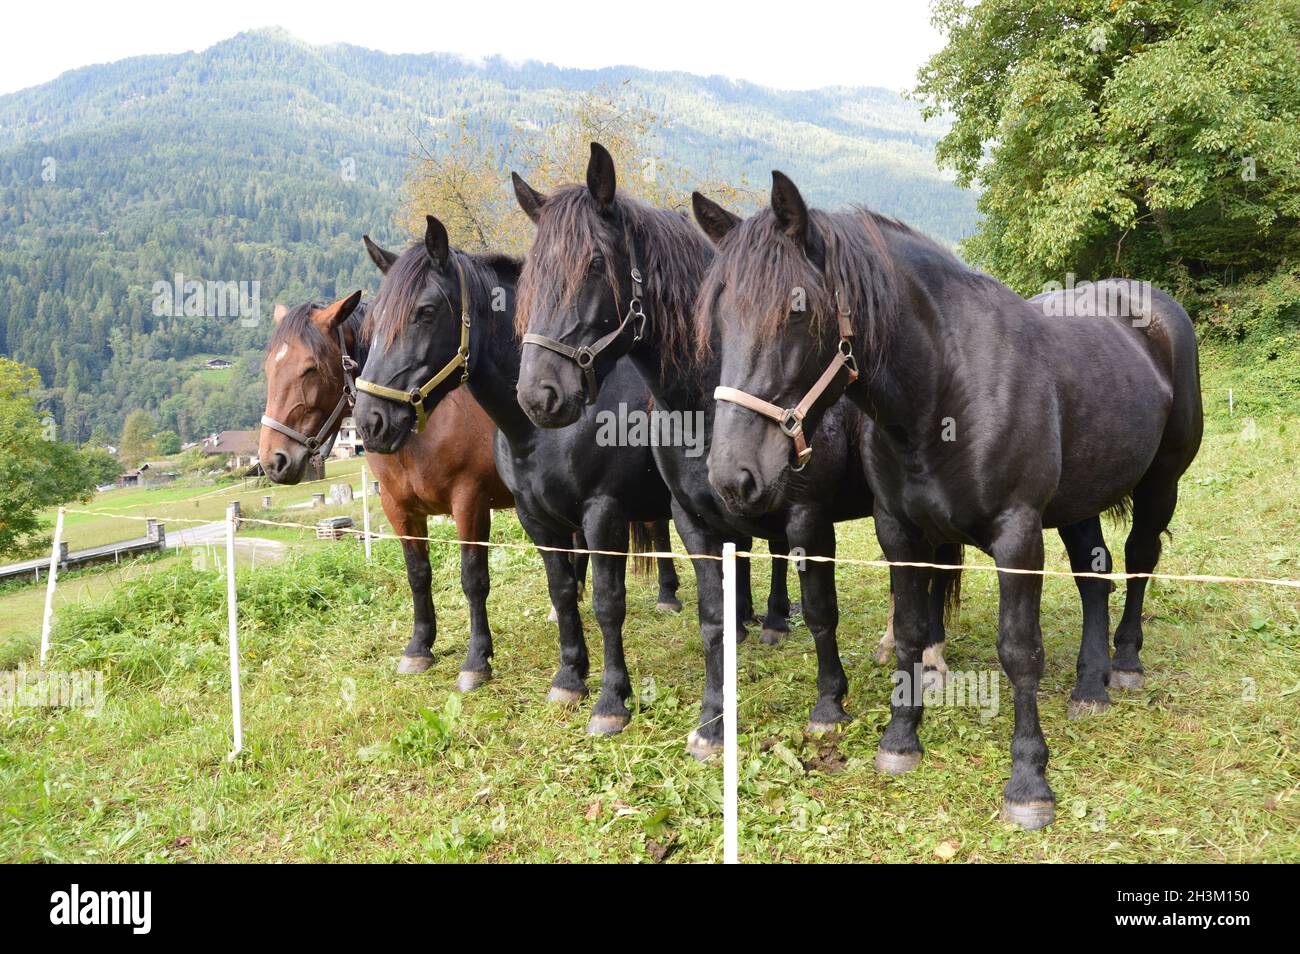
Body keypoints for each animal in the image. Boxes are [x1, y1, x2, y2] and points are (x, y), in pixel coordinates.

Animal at [259, 292, 515, 689]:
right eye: (269, 369)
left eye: (310, 369)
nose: (273, 460)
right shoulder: (399, 509)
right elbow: (418, 575)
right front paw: (419, 648)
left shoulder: (470, 504)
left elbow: (473, 580)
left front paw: (477, 660)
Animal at [352, 217, 682, 736]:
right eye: (372, 323)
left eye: (425, 312)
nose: (370, 421)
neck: (544, 428)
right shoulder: (536, 518)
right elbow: (562, 591)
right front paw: (569, 678)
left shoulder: (602, 514)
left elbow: (608, 602)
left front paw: (611, 700)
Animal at [509, 143, 960, 757]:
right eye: (531, 271)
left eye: (596, 264)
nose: (539, 395)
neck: (702, 405)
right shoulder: (695, 522)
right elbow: (713, 620)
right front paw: (711, 721)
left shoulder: (808, 518)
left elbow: (820, 612)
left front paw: (828, 705)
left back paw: (931, 653)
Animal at [694, 173, 1203, 829]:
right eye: (718, 318)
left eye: (797, 311)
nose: (734, 476)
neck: (947, 388)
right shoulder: (900, 532)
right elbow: (911, 632)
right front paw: (900, 740)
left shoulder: (1017, 536)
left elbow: (1019, 651)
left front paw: (1028, 783)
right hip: (1079, 501)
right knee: (1096, 577)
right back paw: (1090, 687)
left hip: (1160, 485)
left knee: (1140, 560)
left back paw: (1127, 664)